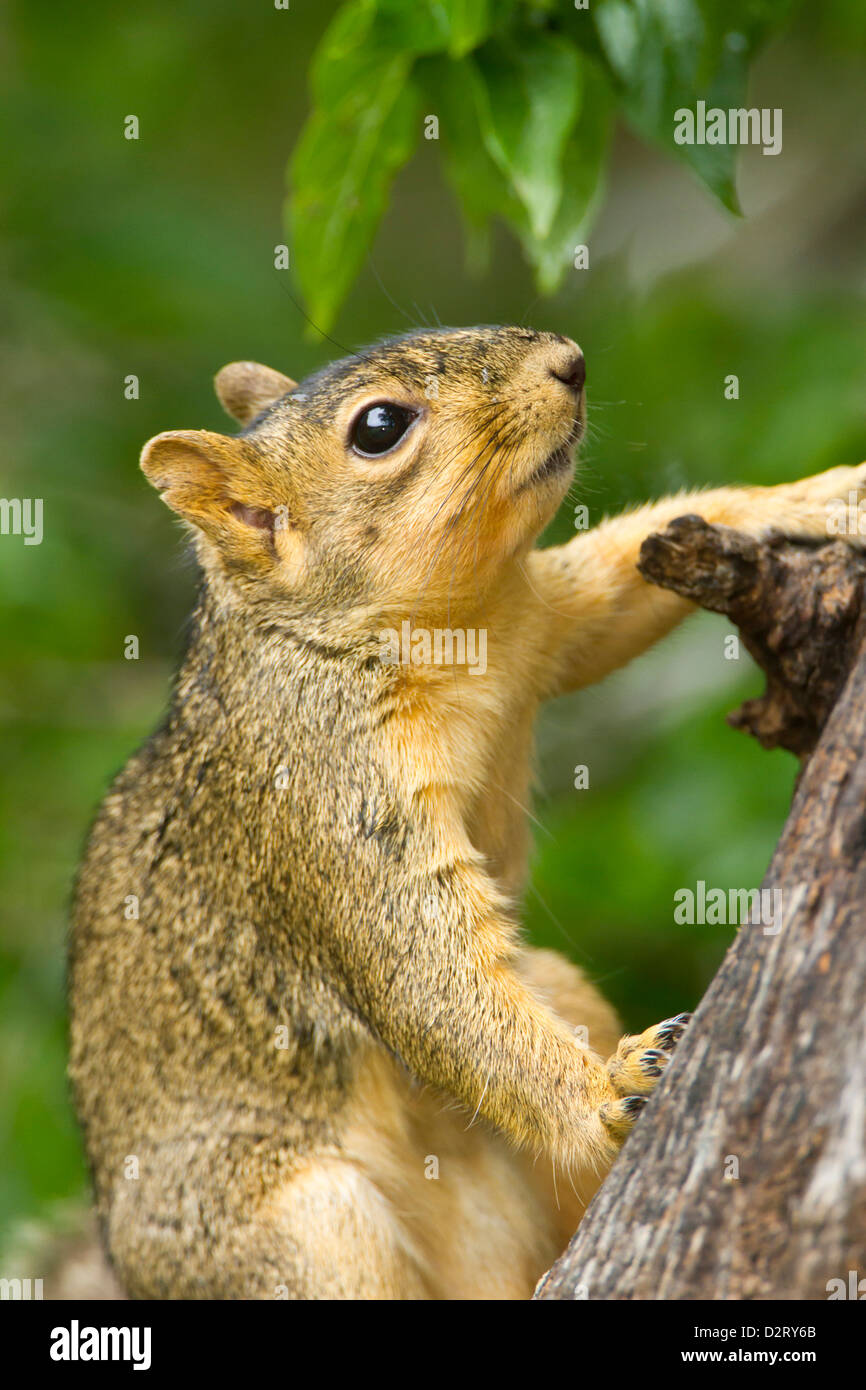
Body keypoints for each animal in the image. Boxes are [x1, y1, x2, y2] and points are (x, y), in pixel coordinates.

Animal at [68, 325, 866, 1300]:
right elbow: (425, 977)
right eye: (378, 427)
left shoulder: (546, 619)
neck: (450, 631)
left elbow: (631, 565)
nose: (569, 361)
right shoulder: (328, 794)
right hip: (302, 1230)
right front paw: (608, 1094)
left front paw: (821, 497)